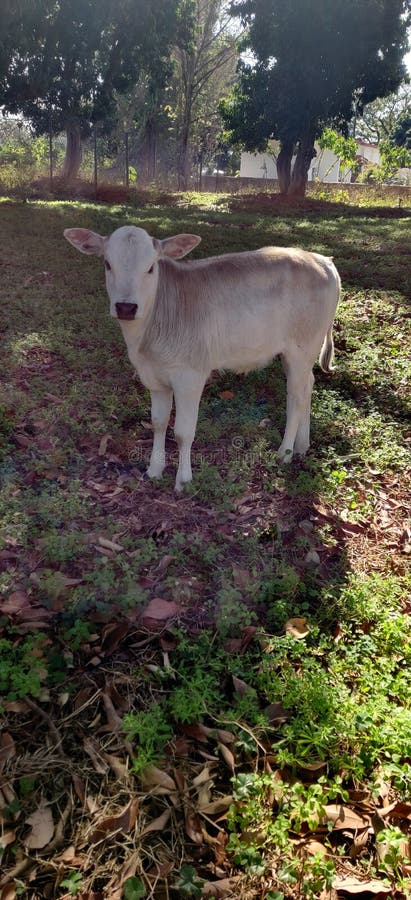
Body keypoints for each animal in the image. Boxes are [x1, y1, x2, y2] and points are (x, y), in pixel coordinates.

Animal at [64, 225, 341, 492]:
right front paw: (154, 470)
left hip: (301, 346)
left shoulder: (190, 376)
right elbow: (158, 423)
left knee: (296, 396)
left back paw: (285, 452)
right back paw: (302, 445)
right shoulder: (153, 377)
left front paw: (183, 480)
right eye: (107, 264)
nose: (125, 307)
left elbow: (183, 432)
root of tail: (321, 259)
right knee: (308, 386)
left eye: (151, 267)